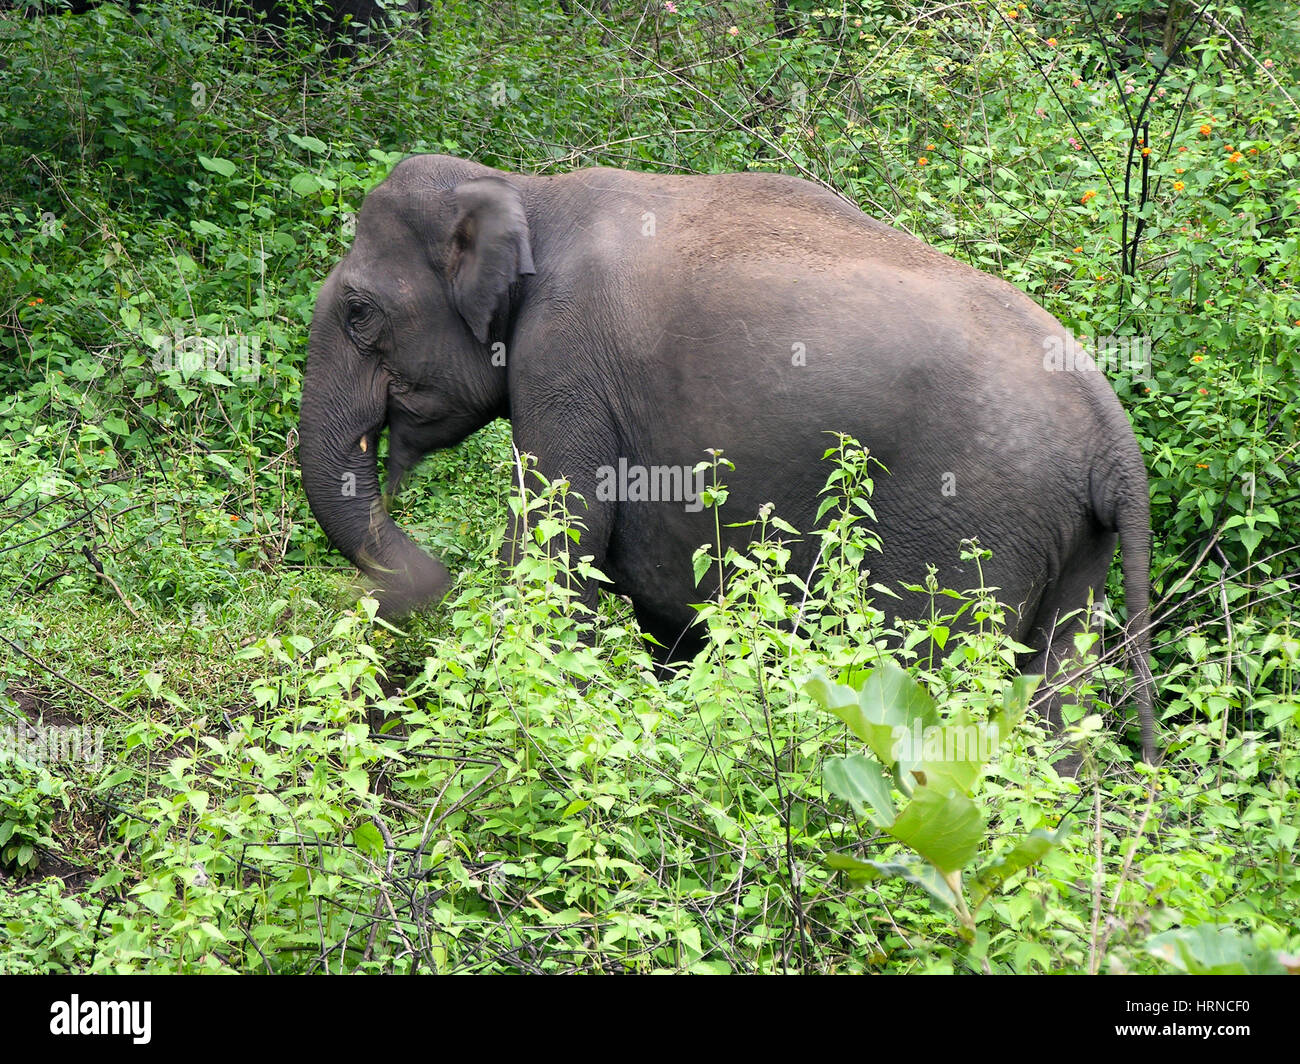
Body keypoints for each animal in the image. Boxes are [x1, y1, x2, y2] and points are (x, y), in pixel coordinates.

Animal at [298, 154, 1157, 765]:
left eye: (359, 312)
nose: (427, 590)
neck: (524, 189)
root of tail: (1114, 437)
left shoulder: (566, 363)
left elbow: (559, 546)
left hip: (972, 524)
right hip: (1071, 539)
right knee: (1060, 692)